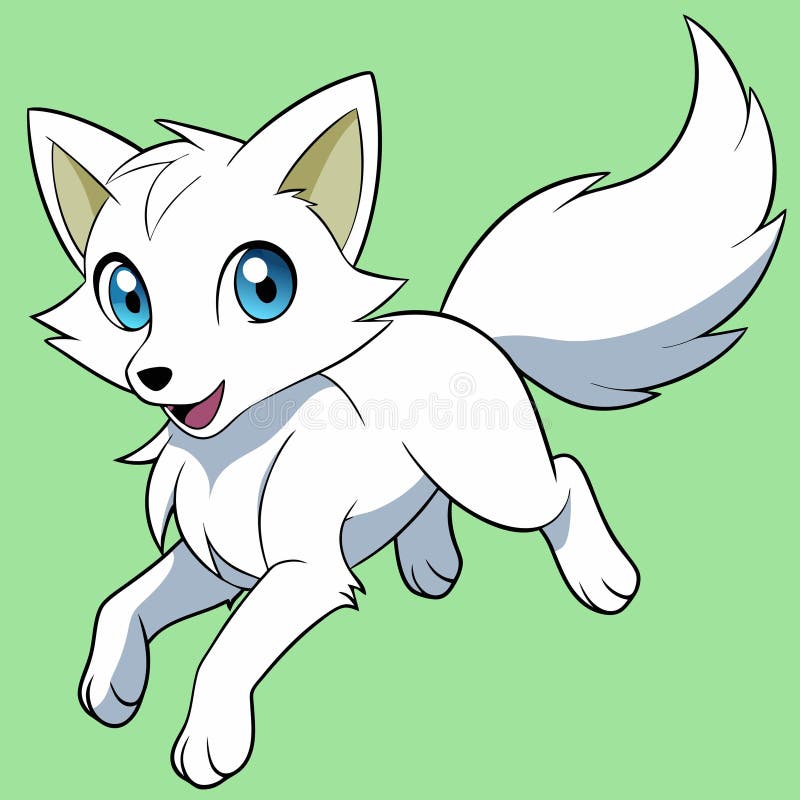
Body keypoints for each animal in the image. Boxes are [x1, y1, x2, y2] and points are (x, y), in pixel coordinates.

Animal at [29, 19, 782, 788]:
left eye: (261, 287)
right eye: (126, 296)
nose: (155, 374)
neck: (232, 456)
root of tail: (462, 324)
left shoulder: (304, 575)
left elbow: (225, 649)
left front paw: (212, 742)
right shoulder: (215, 562)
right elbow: (122, 602)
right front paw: (112, 686)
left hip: (500, 482)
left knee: (565, 476)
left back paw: (602, 573)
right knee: (432, 495)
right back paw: (431, 562)